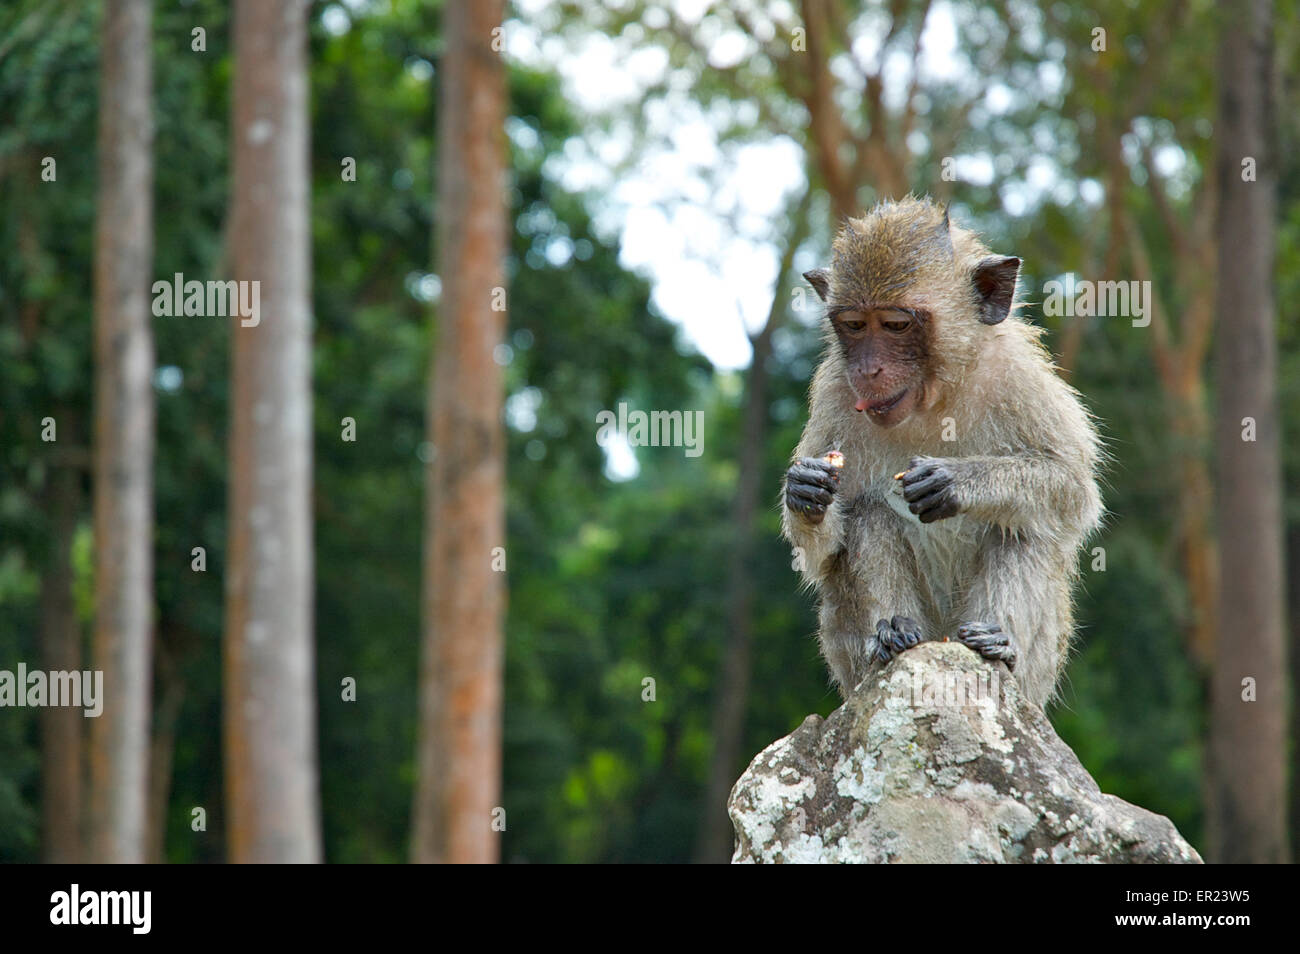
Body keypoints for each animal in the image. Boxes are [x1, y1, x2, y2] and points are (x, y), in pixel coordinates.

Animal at [782, 195, 1103, 708]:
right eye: (854, 326)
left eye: (896, 325)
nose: (868, 370)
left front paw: (956, 481)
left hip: (1039, 669)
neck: (934, 399)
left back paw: (995, 643)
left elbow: (1072, 489)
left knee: (1023, 522)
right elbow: (819, 555)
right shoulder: (834, 392)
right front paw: (805, 491)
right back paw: (892, 635)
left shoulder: (1019, 376)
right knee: (868, 512)